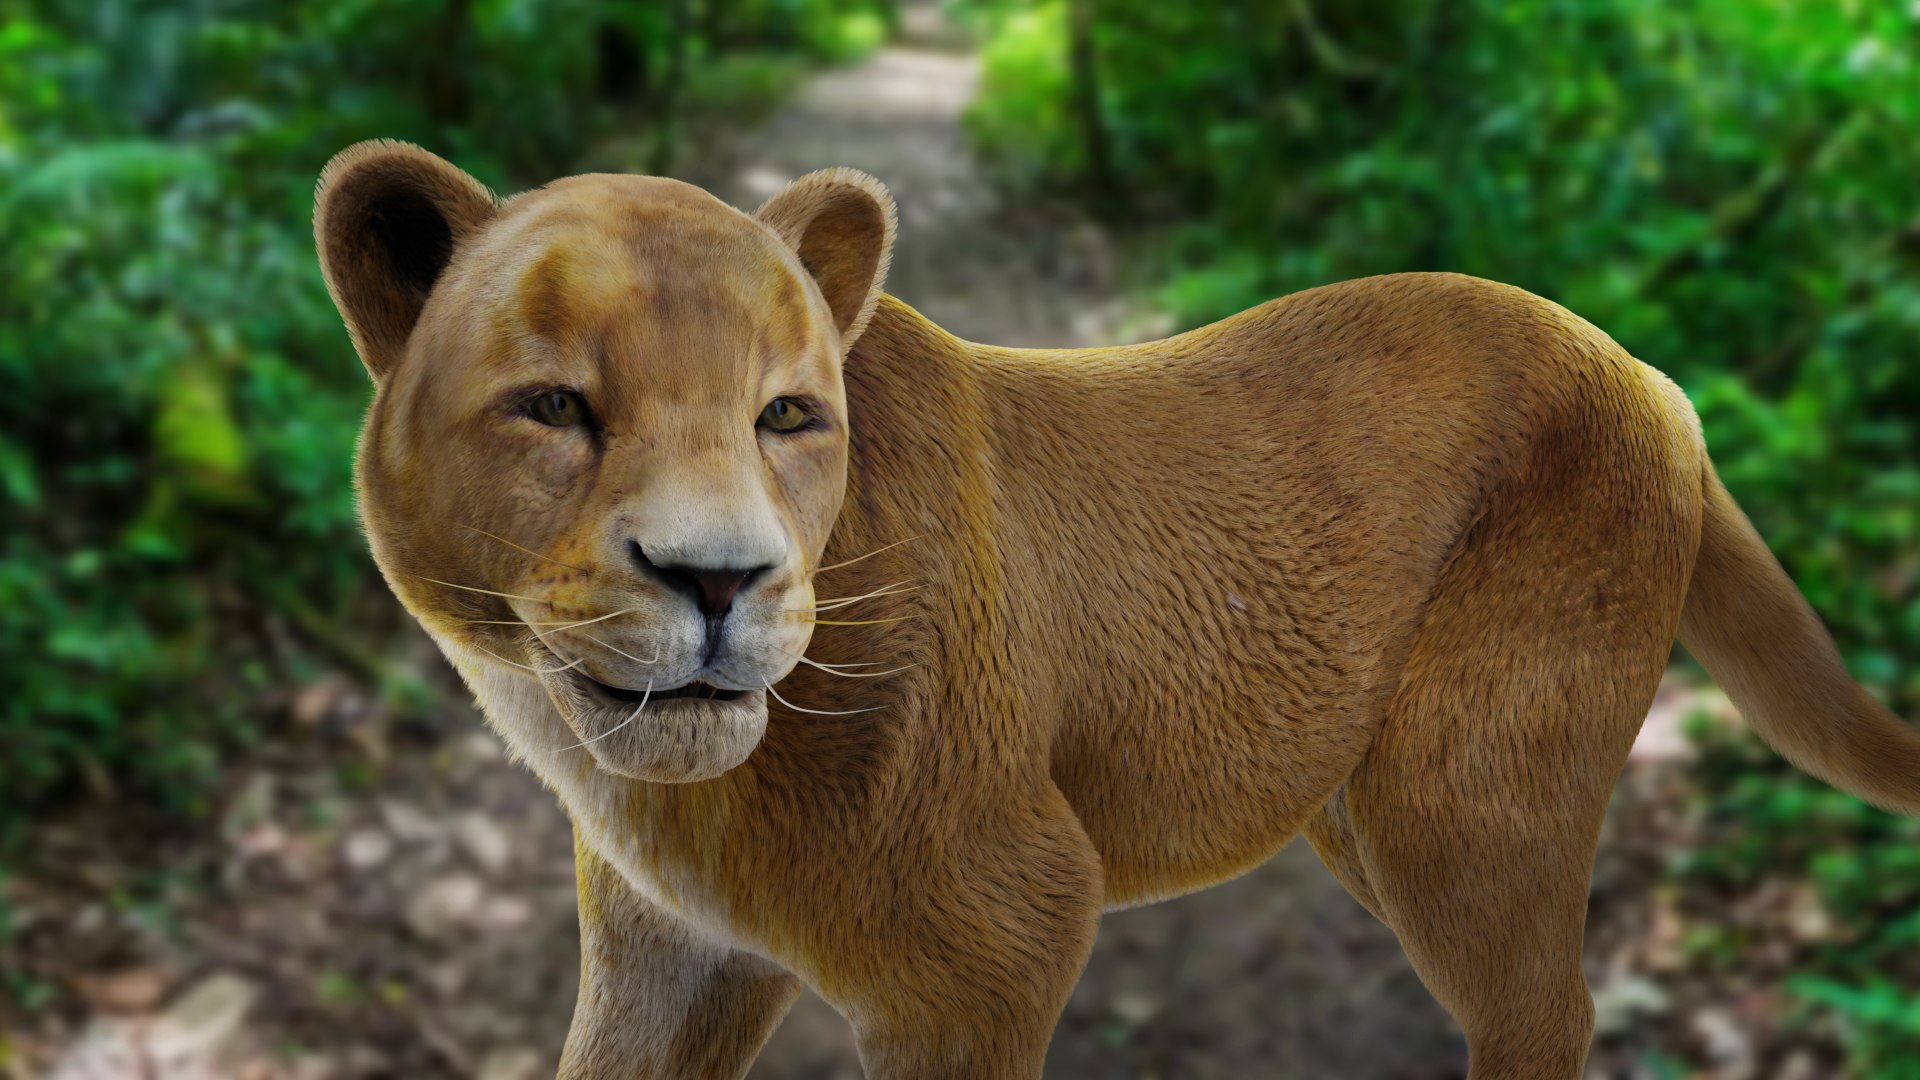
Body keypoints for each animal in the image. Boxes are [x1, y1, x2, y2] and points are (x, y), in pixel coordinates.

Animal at [313, 140, 1920, 1079]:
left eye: (786, 415)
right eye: (553, 407)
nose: (720, 580)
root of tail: (1644, 373)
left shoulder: (997, 939)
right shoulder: (671, 957)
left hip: (1468, 804)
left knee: (1546, 1015)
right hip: (1362, 813)